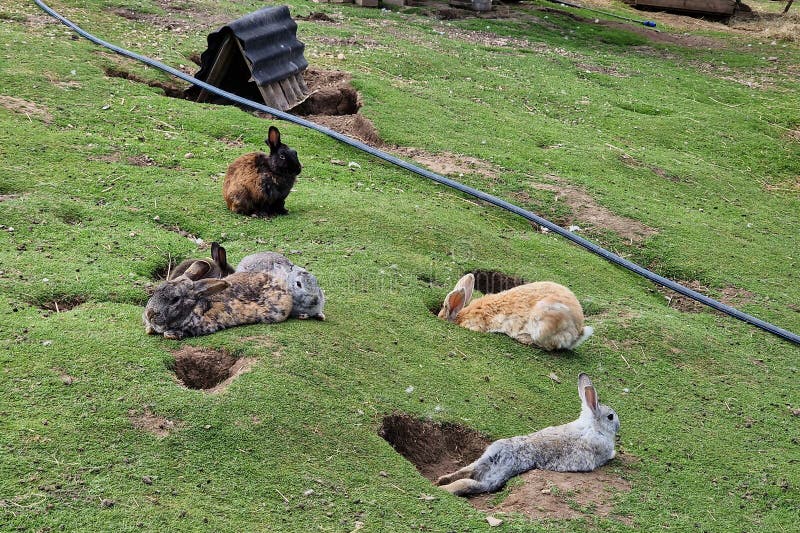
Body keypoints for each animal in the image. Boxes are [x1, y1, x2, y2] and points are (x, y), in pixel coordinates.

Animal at [436, 373, 619, 496]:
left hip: (486, 458)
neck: (592, 425)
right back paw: (445, 488)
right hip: (495, 478)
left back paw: (442, 480)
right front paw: (614, 453)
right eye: (611, 416)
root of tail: (499, 455)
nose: (618, 426)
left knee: (466, 470)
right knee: (470, 483)